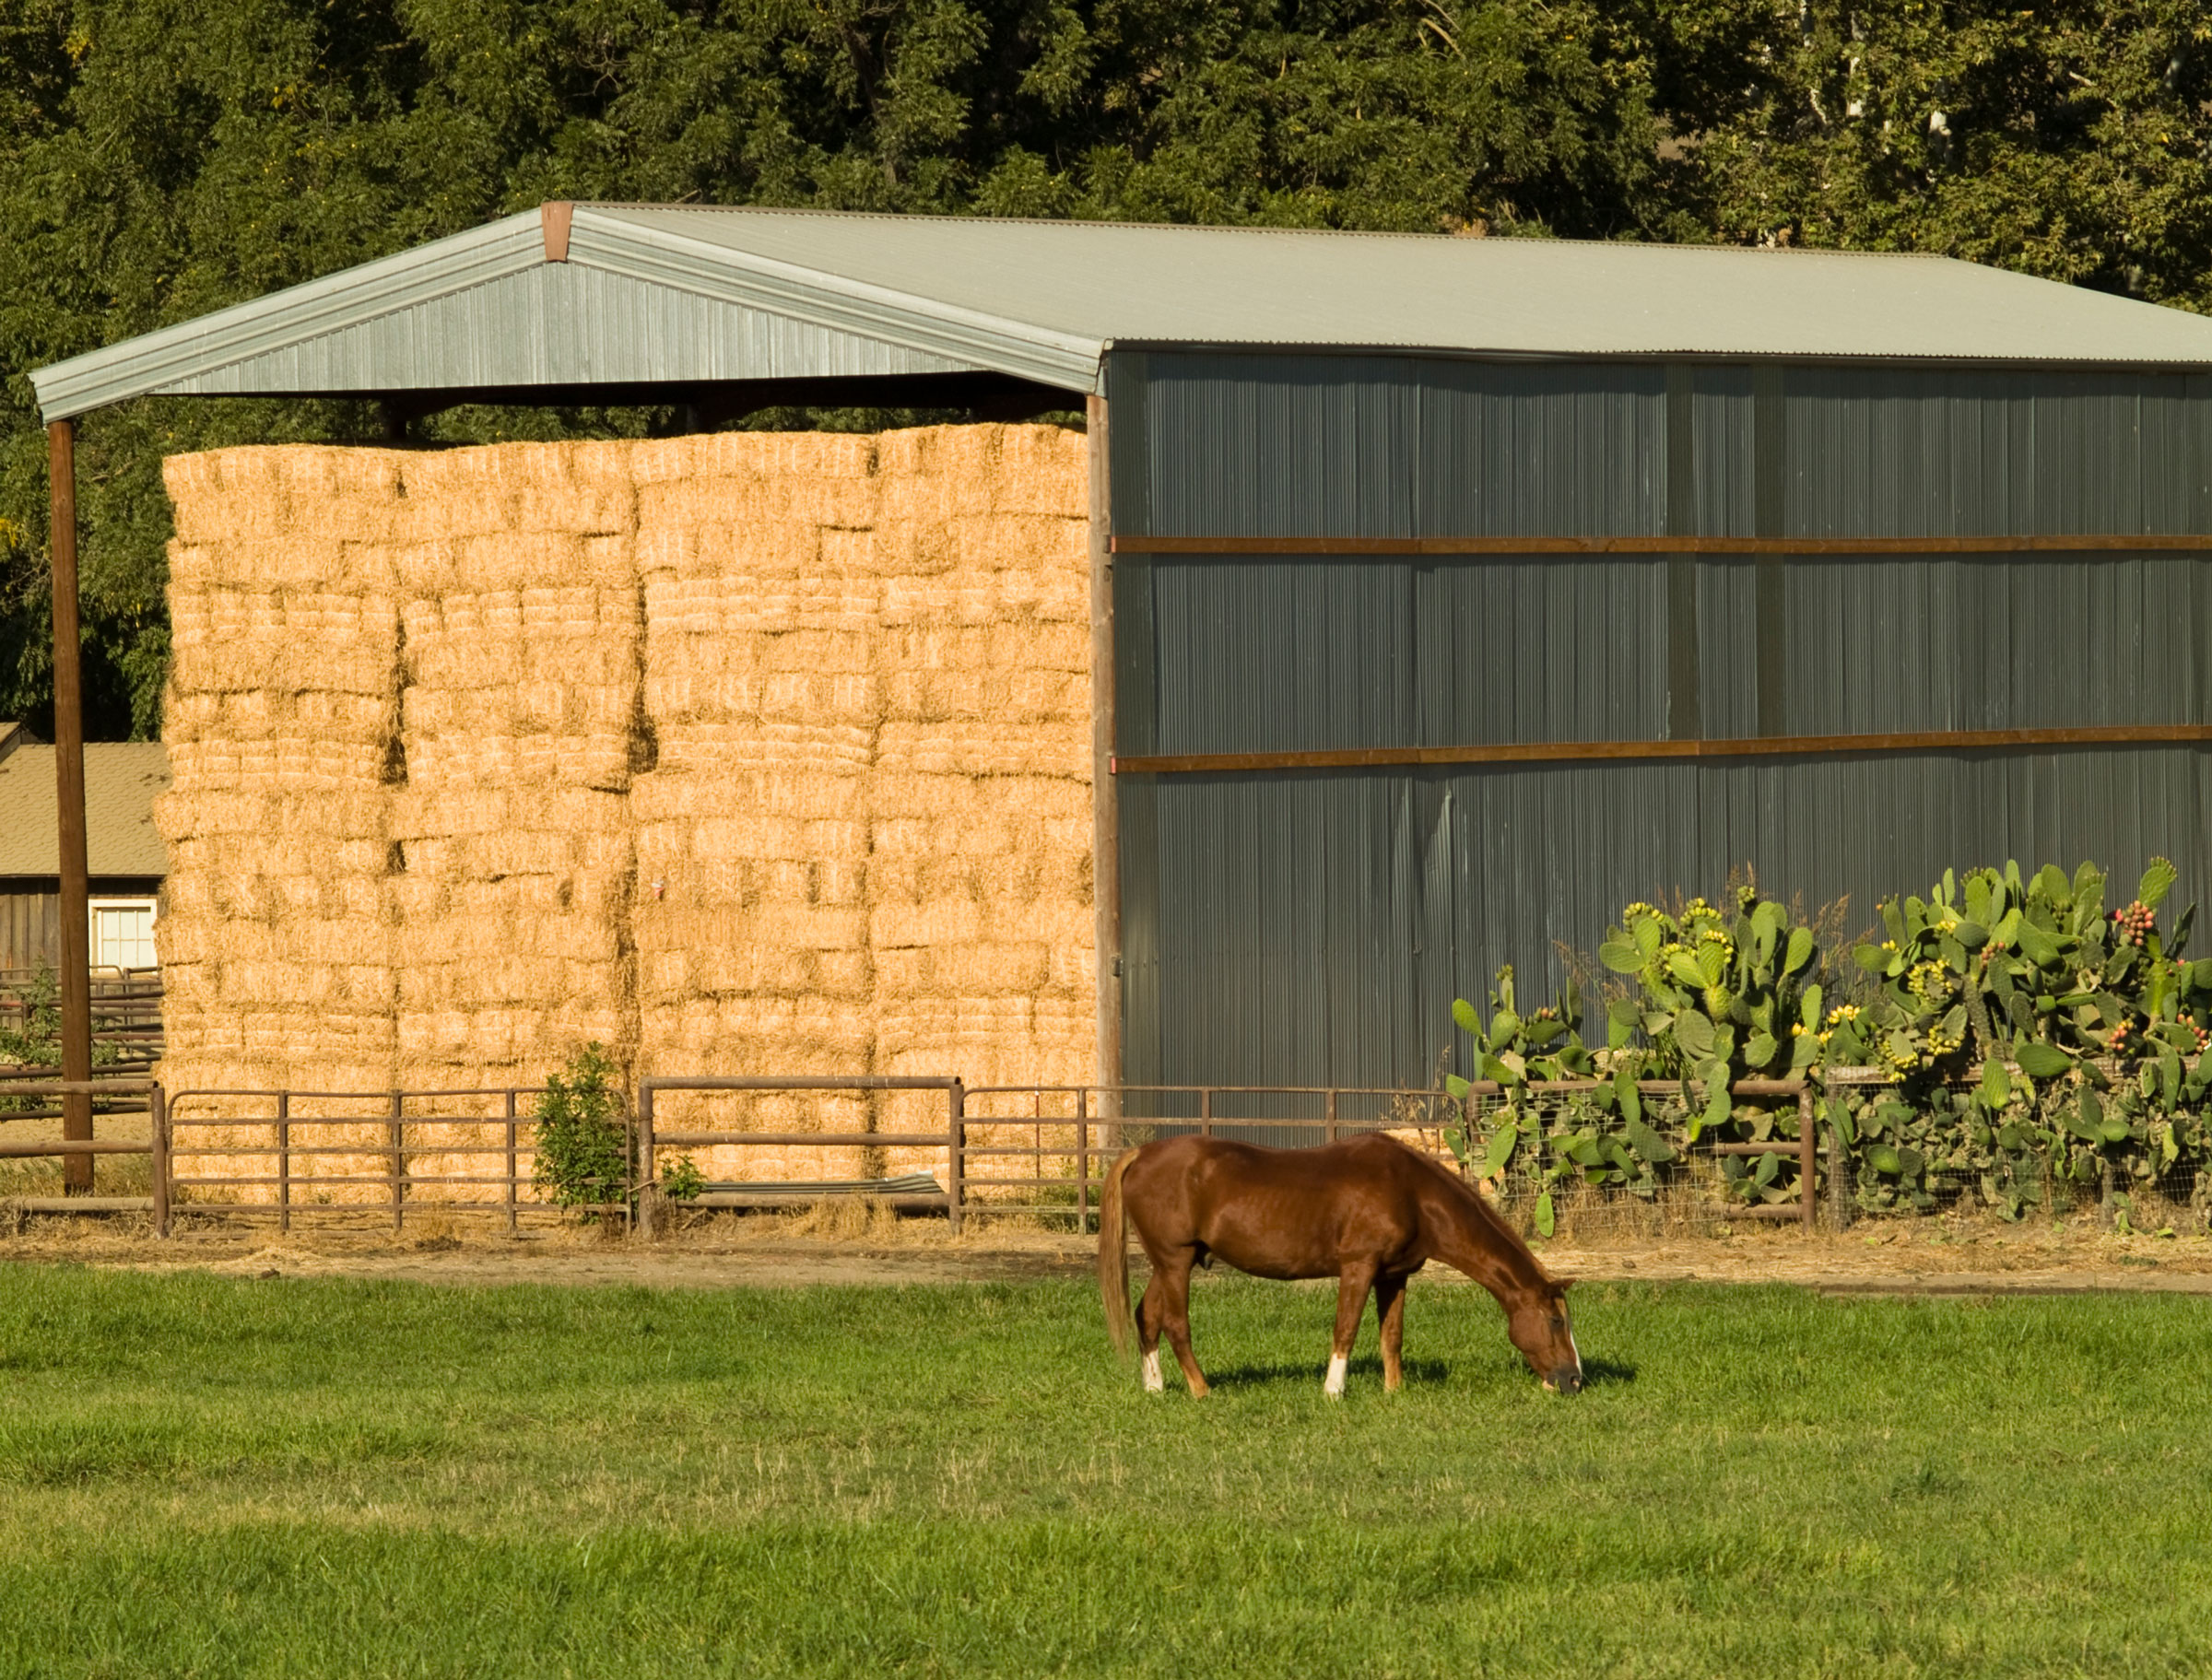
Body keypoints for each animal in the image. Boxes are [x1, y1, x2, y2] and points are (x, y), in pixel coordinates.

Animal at [1098, 1131, 1583, 1398]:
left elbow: (1392, 1336)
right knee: (1175, 1323)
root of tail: (1141, 1154)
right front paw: (1334, 1391)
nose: (1575, 1381)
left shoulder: (1394, 1276)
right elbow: (1345, 1329)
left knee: (1146, 1316)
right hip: (1176, 1261)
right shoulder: (1358, 1267)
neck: (1412, 1193)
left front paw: (1393, 1390)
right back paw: (1201, 1390)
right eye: (1556, 1321)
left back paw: (1155, 1387)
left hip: (1168, 1264)